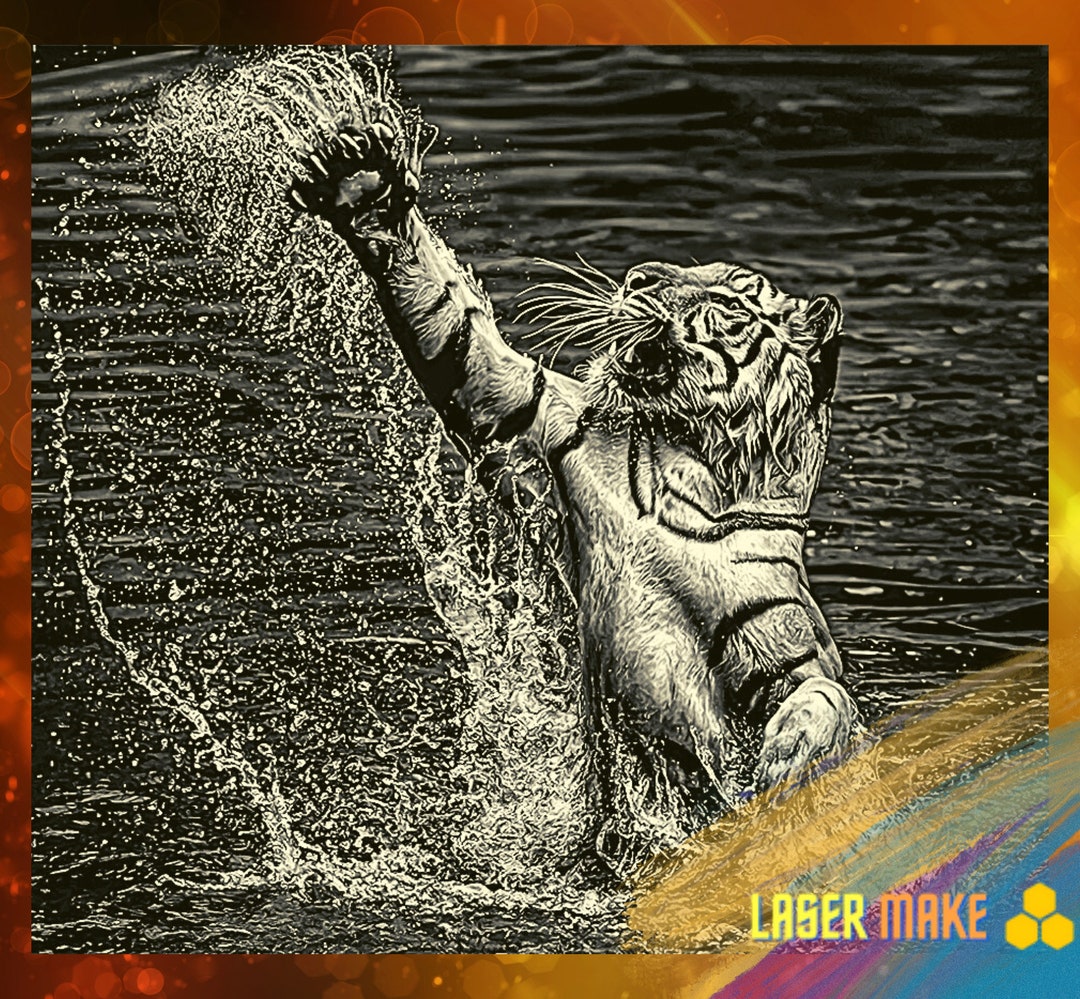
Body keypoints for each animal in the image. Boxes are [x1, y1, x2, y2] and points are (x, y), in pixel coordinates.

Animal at [288, 119, 859, 867]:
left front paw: (788, 751)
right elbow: (457, 329)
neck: (673, 475)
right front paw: (366, 186)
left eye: (726, 295)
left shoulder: (778, 632)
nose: (639, 274)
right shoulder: (532, 415)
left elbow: (826, 696)